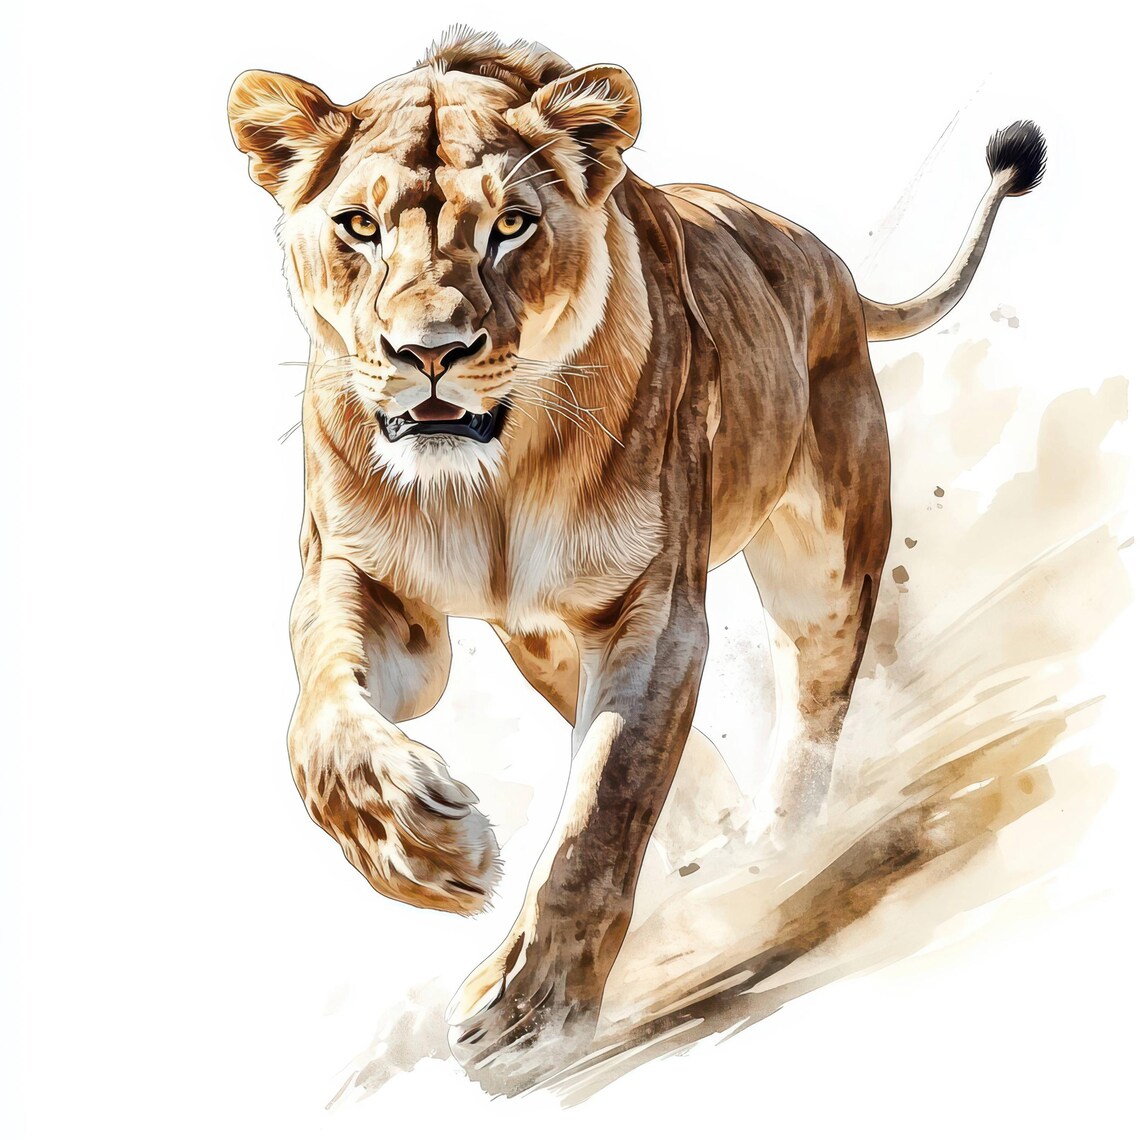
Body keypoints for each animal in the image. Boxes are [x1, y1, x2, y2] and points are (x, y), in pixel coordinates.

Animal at [227, 29, 1045, 1086]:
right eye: (359, 226)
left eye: (512, 226)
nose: (430, 353)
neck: (489, 482)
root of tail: (825, 260)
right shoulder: (368, 583)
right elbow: (322, 725)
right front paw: (429, 850)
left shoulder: (655, 610)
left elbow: (606, 801)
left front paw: (531, 1011)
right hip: (543, 637)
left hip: (821, 558)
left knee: (816, 695)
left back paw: (775, 850)